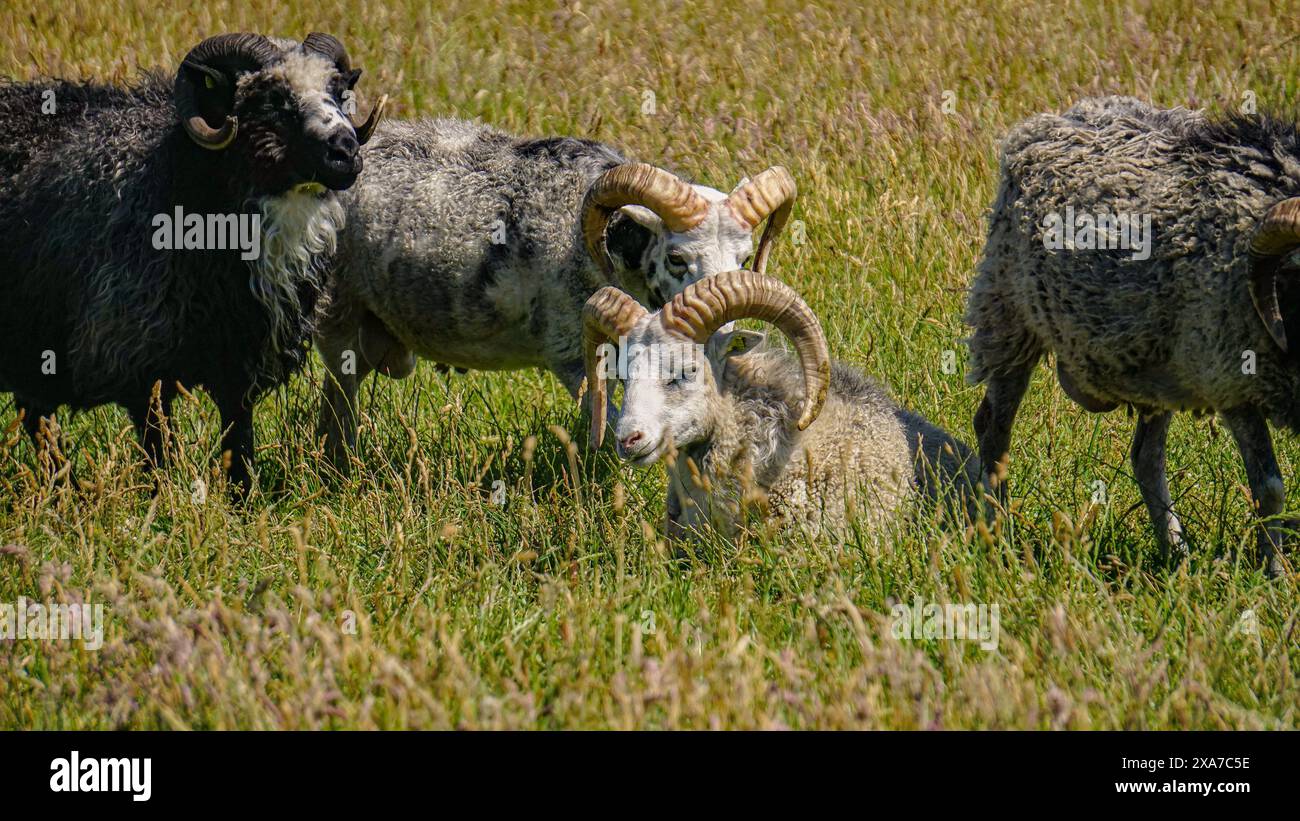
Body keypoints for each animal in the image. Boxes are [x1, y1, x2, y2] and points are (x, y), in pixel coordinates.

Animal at [0, 32, 384, 491]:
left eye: (339, 92)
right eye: (272, 99)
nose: (344, 150)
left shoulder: (240, 363)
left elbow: (239, 444)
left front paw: (242, 499)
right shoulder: (138, 359)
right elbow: (159, 448)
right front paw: (161, 501)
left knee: (37, 420)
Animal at [313, 115, 797, 469]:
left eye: (744, 257)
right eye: (677, 258)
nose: (723, 330)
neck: (604, 247)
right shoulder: (573, 354)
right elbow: (611, 426)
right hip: (334, 306)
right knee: (340, 389)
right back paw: (341, 467)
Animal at [964, 95, 1300, 573]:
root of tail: (1054, 118)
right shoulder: (1232, 381)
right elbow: (1269, 488)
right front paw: (1274, 574)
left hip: (1152, 364)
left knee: (1146, 459)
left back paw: (1177, 557)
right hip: (1007, 313)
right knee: (993, 429)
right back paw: (998, 538)